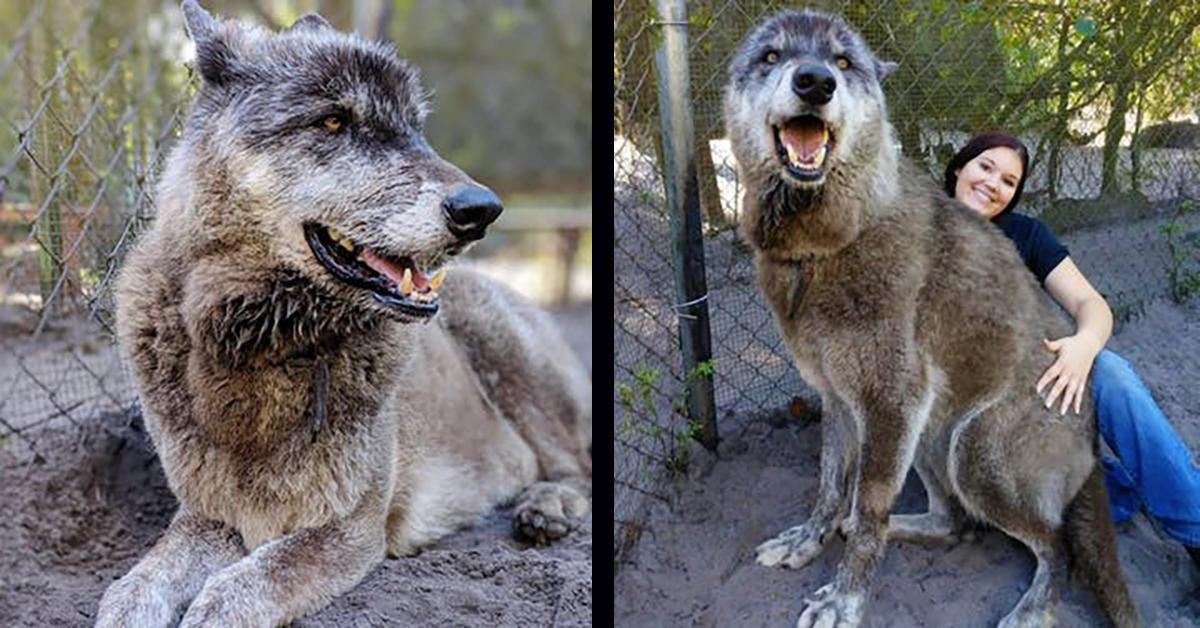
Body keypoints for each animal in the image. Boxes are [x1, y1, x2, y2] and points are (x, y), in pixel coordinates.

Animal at [94, 2, 591, 626]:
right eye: (333, 122)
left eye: (415, 126)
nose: (481, 210)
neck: (266, 345)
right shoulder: (207, 516)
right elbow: (132, 588)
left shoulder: (347, 530)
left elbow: (234, 591)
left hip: (503, 347)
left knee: (576, 465)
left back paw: (548, 505)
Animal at [724, 10, 1136, 628]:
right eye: (771, 56)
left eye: (844, 61)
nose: (816, 82)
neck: (827, 244)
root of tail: (1090, 437)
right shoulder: (842, 400)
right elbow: (830, 485)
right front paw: (808, 540)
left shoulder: (890, 401)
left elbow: (867, 509)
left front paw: (845, 600)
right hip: (926, 435)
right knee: (953, 523)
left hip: (973, 452)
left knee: (1055, 542)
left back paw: (1033, 607)